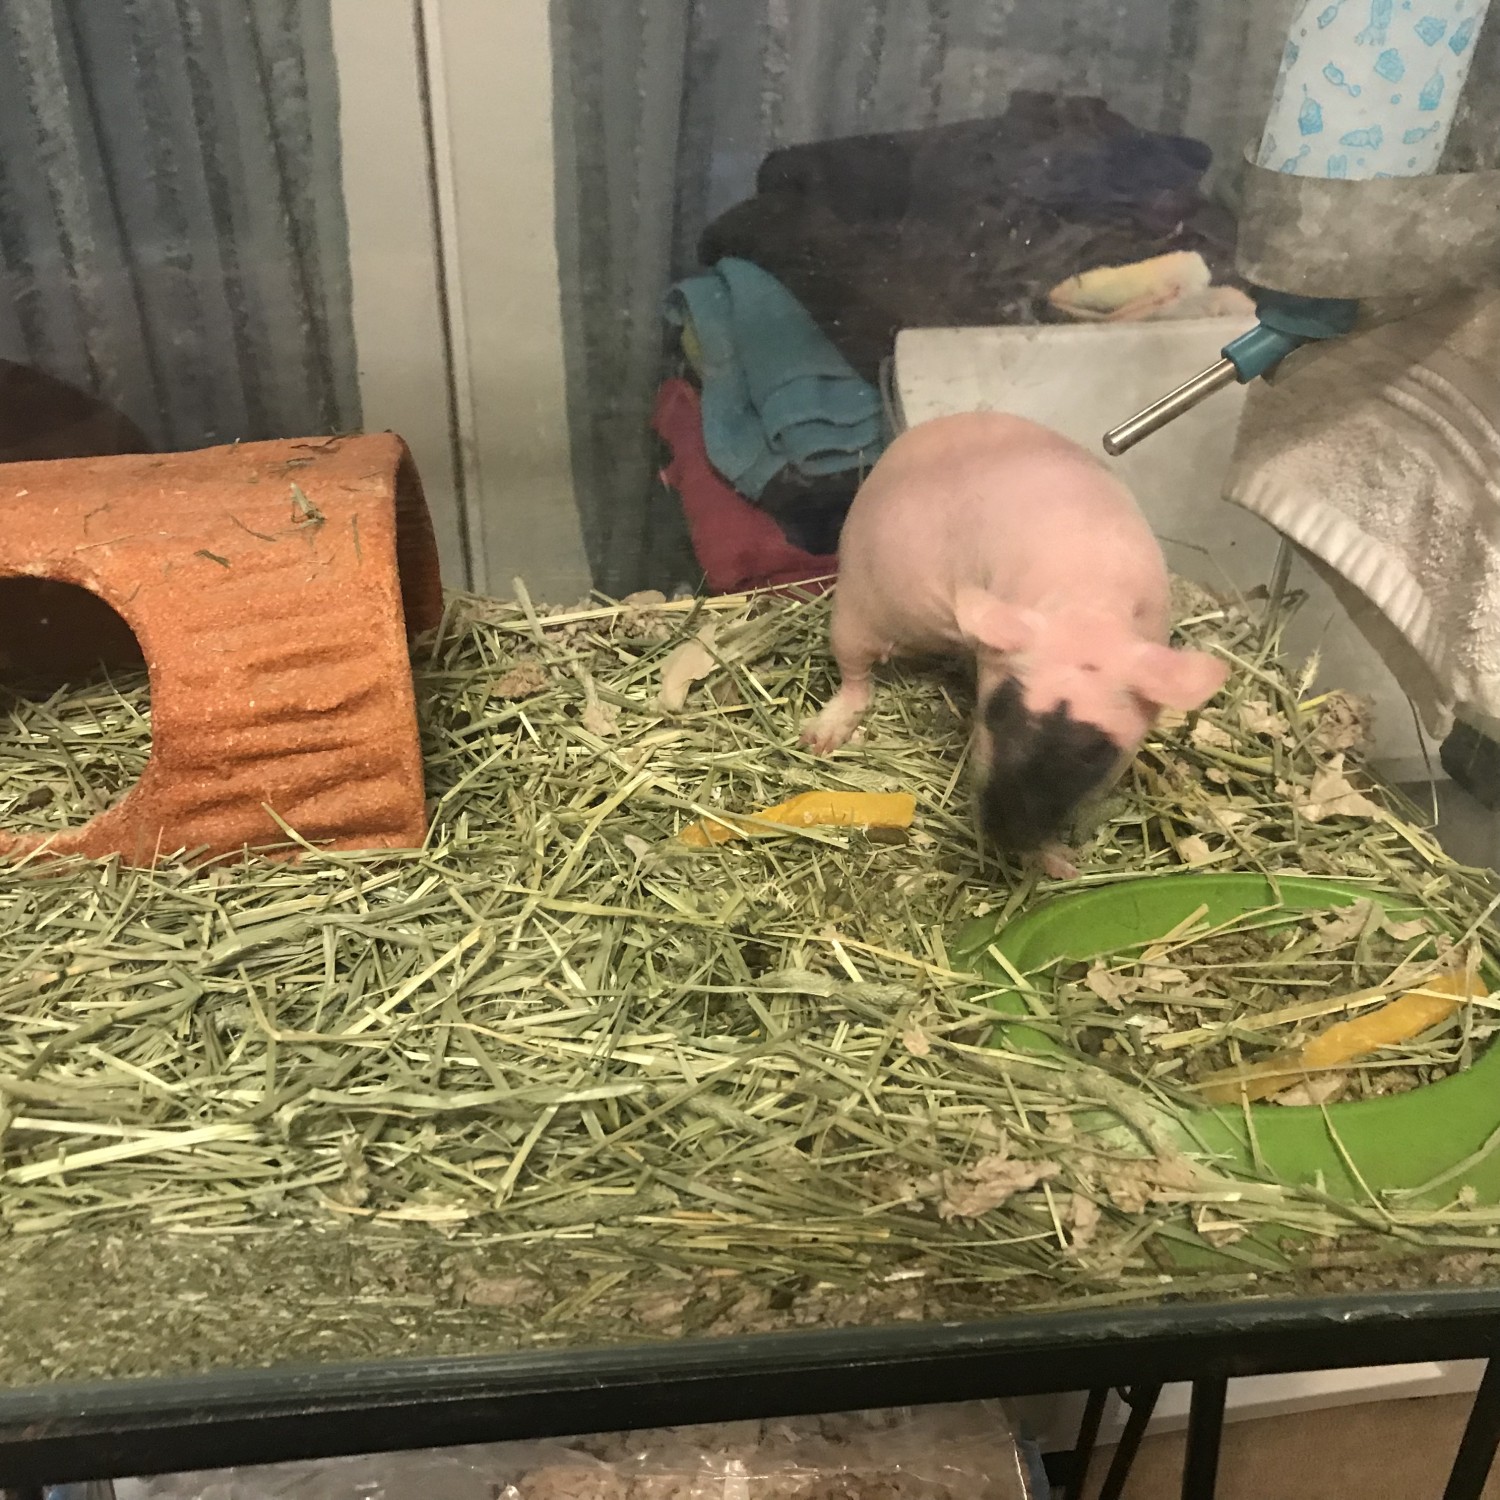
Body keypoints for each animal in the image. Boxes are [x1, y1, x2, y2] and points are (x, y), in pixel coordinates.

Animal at [799, 410, 1229, 878]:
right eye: (994, 711)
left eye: (1095, 751)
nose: (1005, 834)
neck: (1090, 604)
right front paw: (1053, 862)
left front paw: (1057, 858)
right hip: (857, 606)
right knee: (854, 672)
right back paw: (824, 732)